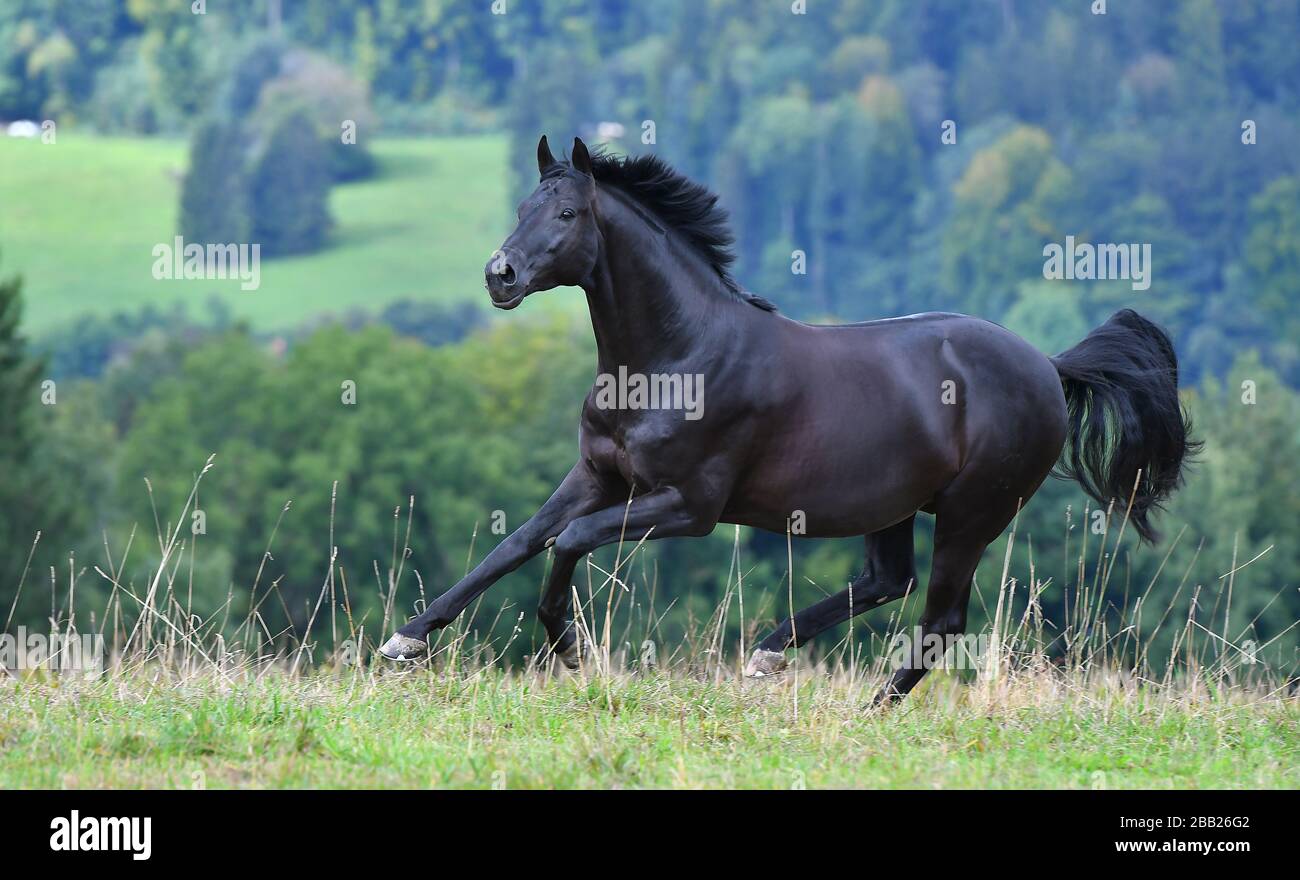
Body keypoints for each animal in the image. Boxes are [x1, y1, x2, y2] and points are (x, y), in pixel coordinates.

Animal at [380, 135, 1196, 704]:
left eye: (569, 212)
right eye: (523, 209)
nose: (500, 275)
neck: (675, 355)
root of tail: (1049, 369)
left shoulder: (689, 507)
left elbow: (570, 542)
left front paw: (570, 648)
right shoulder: (597, 475)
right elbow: (518, 542)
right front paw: (404, 644)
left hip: (973, 512)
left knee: (938, 622)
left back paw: (864, 711)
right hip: (892, 504)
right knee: (886, 582)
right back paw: (771, 653)